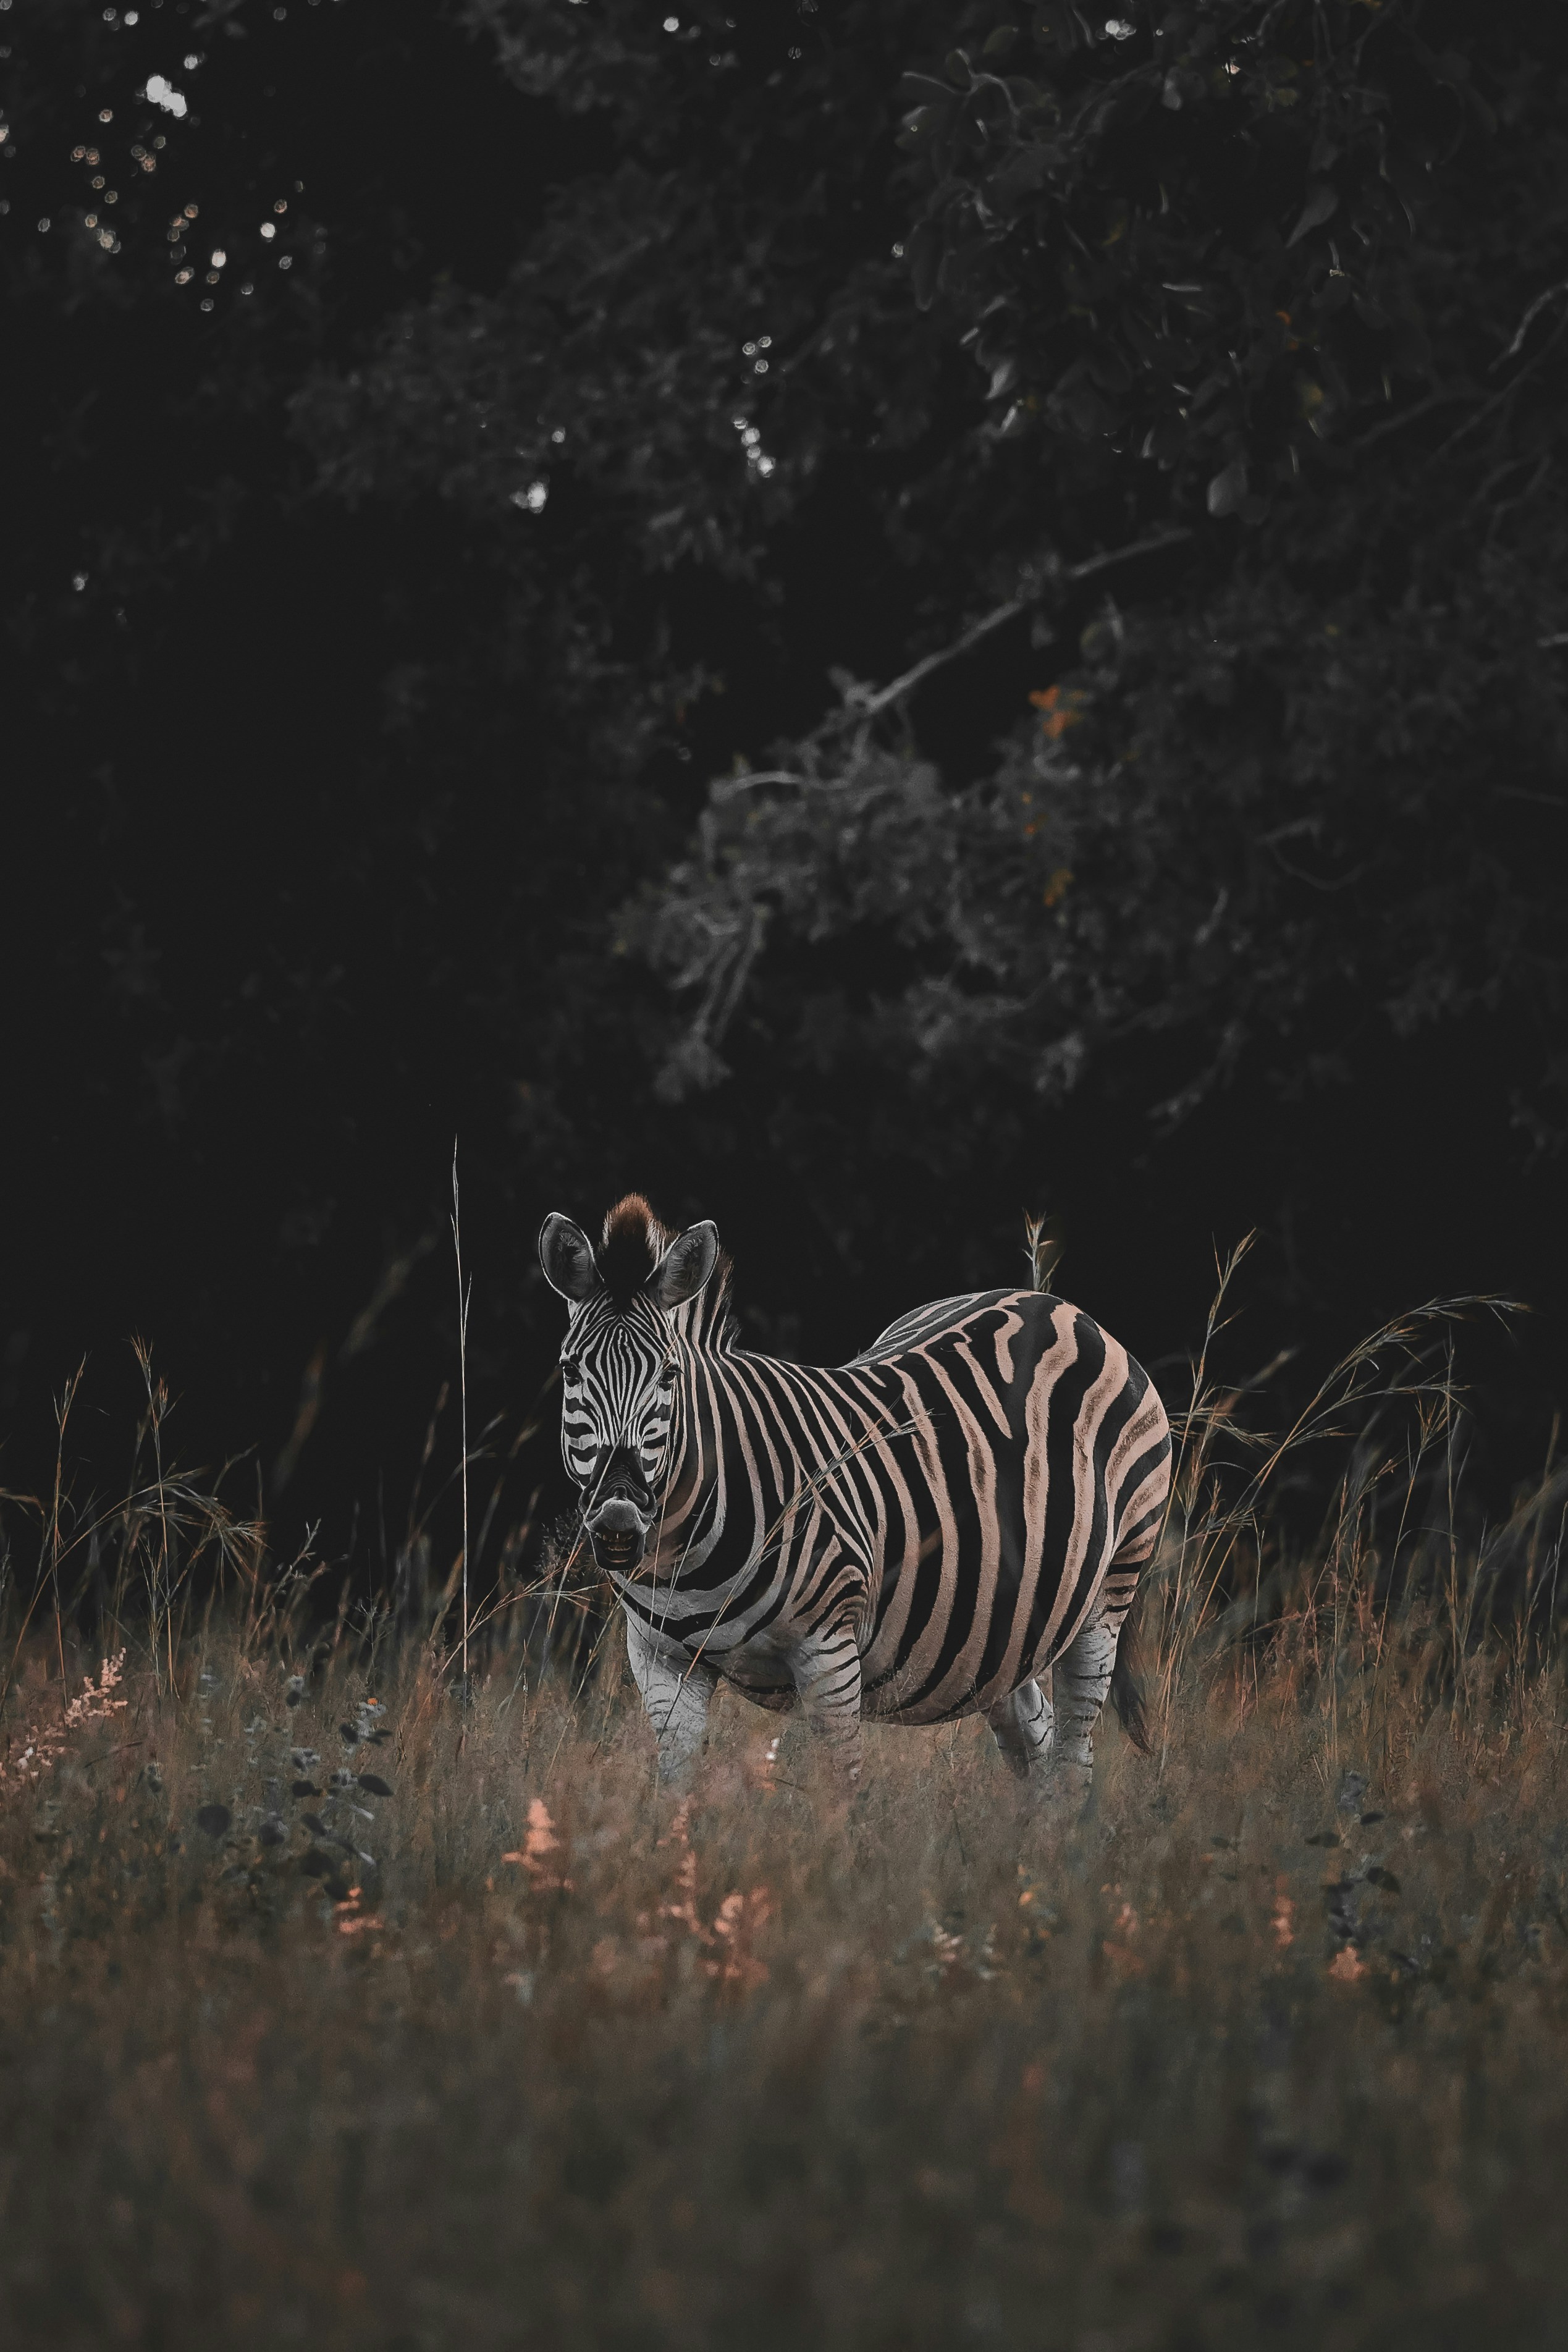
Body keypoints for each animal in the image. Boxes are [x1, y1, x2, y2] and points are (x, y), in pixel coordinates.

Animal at [539, 1194, 1171, 1797]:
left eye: (669, 1376)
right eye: (569, 1372)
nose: (618, 1519)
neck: (685, 1554)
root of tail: (1057, 1305)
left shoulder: (830, 1654)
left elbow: (836, 1801)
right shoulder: (663, 1663)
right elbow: (673, 1797)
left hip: (1108, 1596)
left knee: (1073, 1755)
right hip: (999, 1632)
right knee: (1036, 1746)